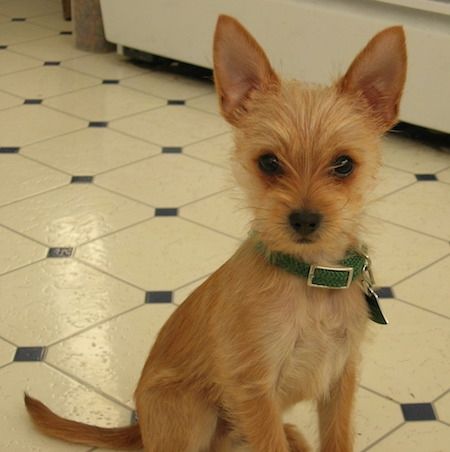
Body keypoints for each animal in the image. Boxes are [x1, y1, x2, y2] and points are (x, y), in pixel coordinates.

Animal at [23, 14, 408, 452]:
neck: (311, 280)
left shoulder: (340, 378)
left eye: (344, 164)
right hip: (194, 410)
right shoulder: (254, 388)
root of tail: (141, 427)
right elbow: (270, 441)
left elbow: (337, 438)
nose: (305, 220)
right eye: (269, 162)